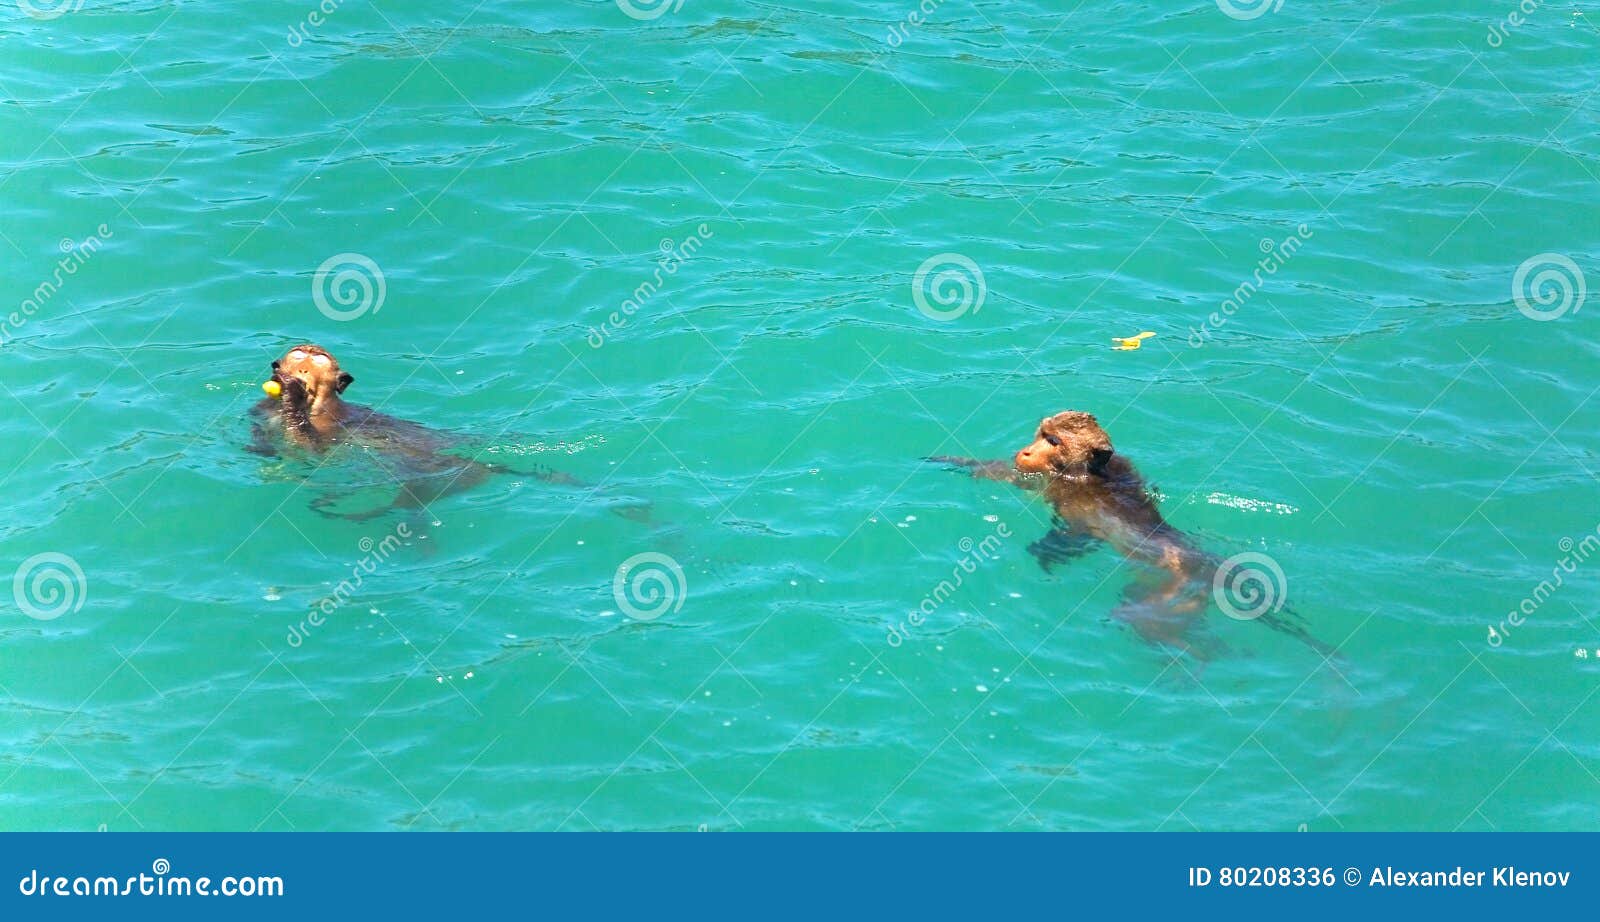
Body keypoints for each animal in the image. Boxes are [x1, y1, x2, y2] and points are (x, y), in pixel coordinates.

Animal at [930, 410, 1334, 659]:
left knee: (1145, 617)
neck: (1087, 473)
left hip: (1171, 590)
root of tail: (1208, 567)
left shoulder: (1066, 488)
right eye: (1042, 434)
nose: (1027, 450)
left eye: (1054, 441)